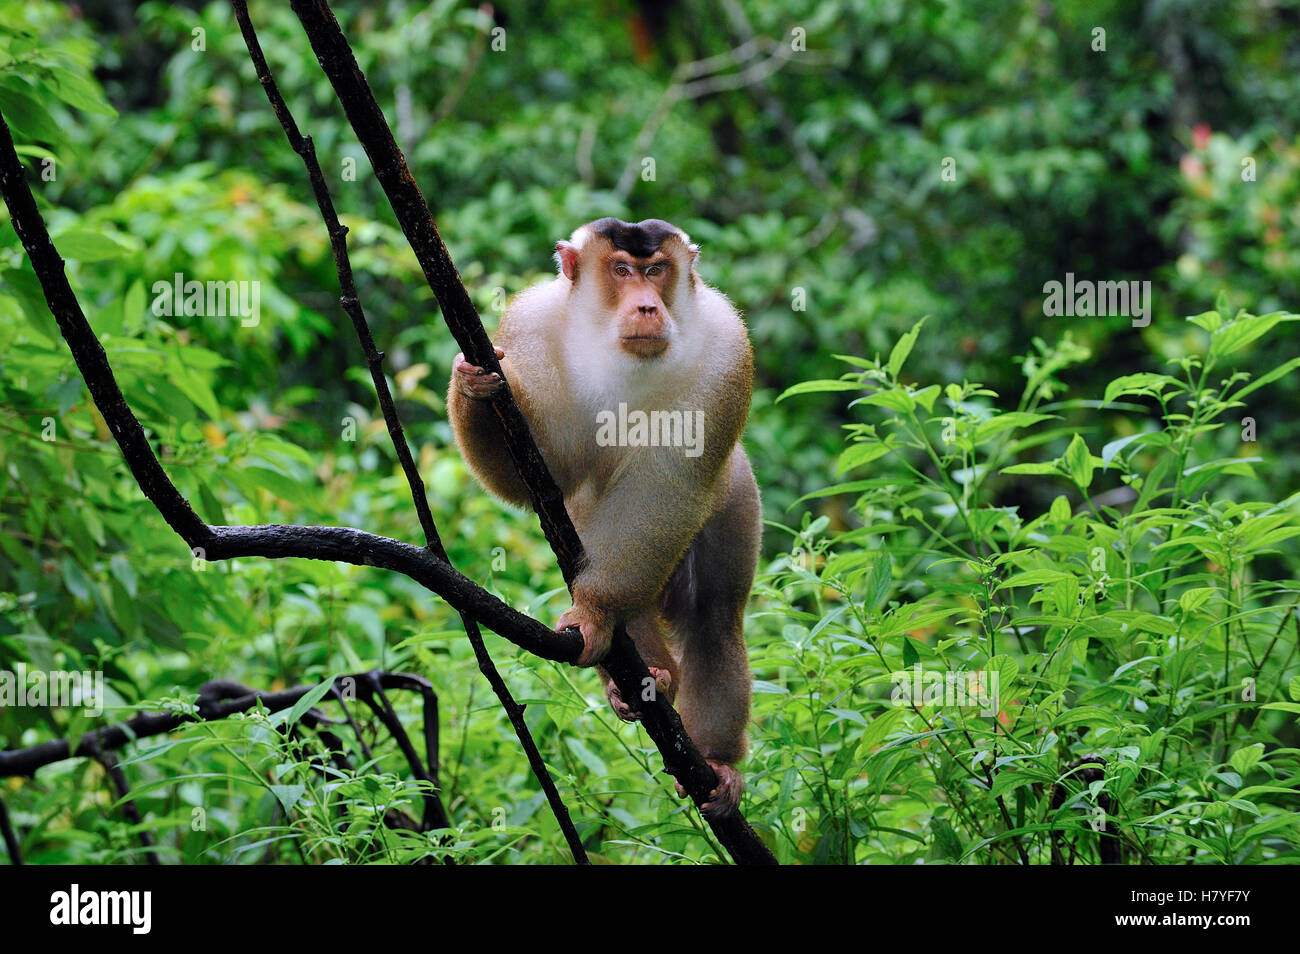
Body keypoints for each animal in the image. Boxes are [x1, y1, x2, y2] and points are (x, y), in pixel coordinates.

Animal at [447, 217, 760, 818]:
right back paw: (649, 677)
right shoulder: (529, 326)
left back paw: (716, 763)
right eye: (621, 269)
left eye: (655, 269)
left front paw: (595, 612)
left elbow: (669, 484)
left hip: (735, 495)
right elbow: (548, 470)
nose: (647, 306)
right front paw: (472, 384)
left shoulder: (727, 349)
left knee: (713, 615)